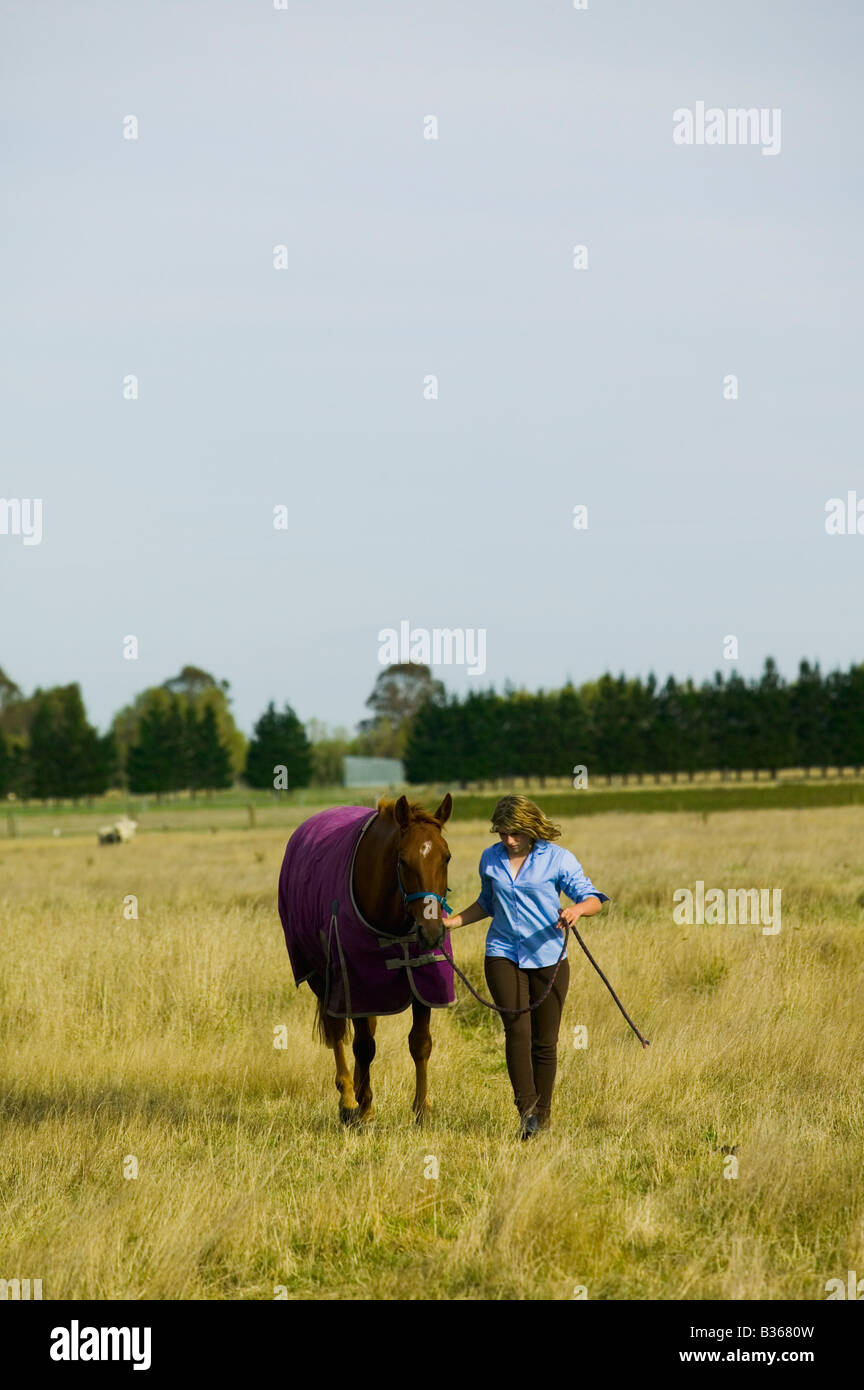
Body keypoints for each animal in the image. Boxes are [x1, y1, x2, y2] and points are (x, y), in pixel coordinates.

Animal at [277, 793, 455, 1126]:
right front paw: (364, 1109)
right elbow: (362, 1046)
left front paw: (422, 1111)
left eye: (446, 857)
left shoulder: (421, 981)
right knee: (339, 1033)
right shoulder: (354, 979)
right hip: (323, 978)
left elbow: (420, 1043)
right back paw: (349, 1100)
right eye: (403, 860)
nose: (432, 933)